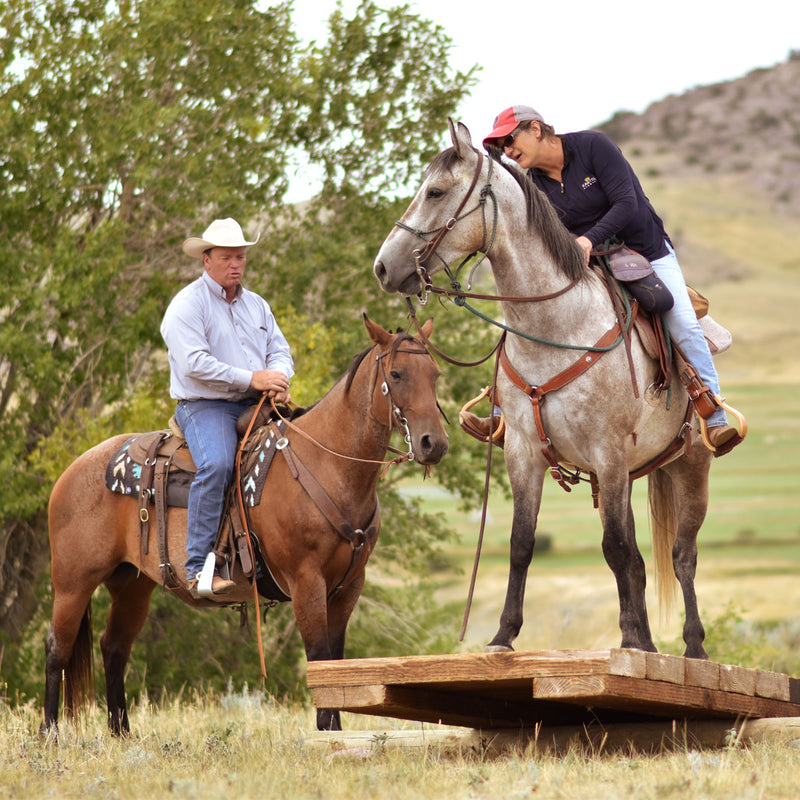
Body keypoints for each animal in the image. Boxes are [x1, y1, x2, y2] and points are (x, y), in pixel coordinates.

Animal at [43, 314, 448, 735]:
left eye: (435, 374)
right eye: (397, 374)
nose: (433, 443)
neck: (326, 464)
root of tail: (72, 471)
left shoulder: (349, 585)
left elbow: (336, 664)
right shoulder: (306, 581)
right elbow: (319, 658)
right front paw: (327, 734)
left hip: (132, 586)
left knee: (114, 648)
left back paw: (121, 734)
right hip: (73, 583)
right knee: (58, 648)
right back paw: (51, 734)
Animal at [373, 119, 715, 660]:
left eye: (436, 192)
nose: (383, 268)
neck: (556, 325)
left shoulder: (607, 452)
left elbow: (615, 549)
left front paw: (633, 641)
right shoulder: (524, 451)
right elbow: (524, 543)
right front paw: (502, 636)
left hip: (690, 465)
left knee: (682, 554)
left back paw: (694, 649)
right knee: (642, 559)